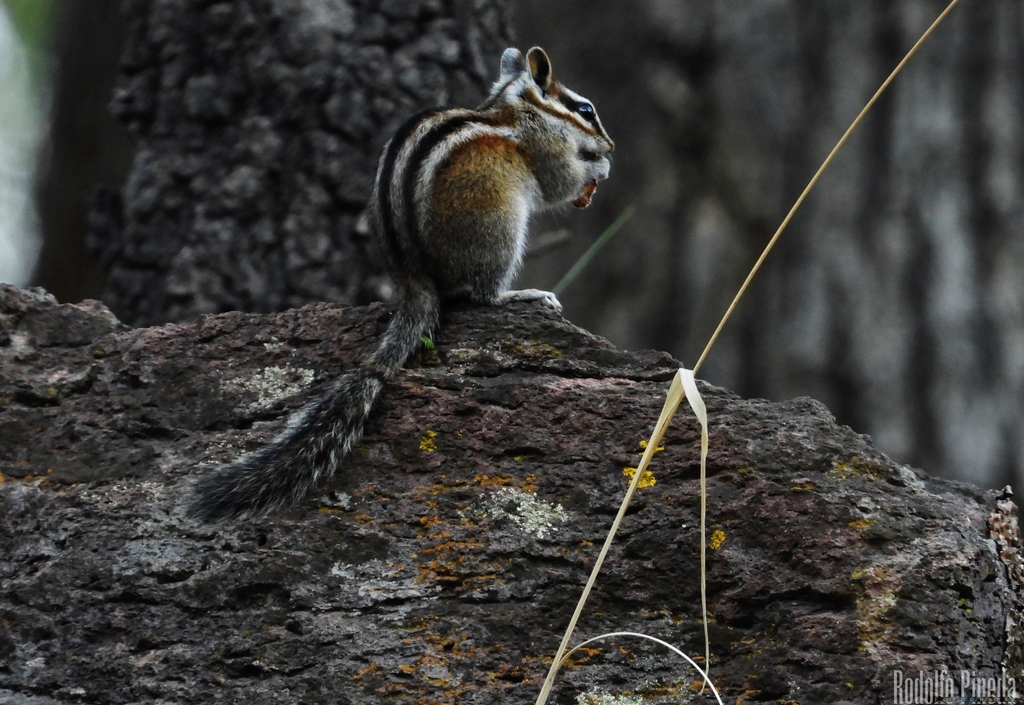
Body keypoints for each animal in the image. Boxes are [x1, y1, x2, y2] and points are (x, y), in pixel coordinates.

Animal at [192, 46, 614, 520]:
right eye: (586, 110)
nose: (612, 145)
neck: (515, 109)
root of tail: (412, 279)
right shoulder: (546, 149)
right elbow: (560, 182)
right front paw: (598, 167)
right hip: (499, 225)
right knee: (482, 295)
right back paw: (522, 294)